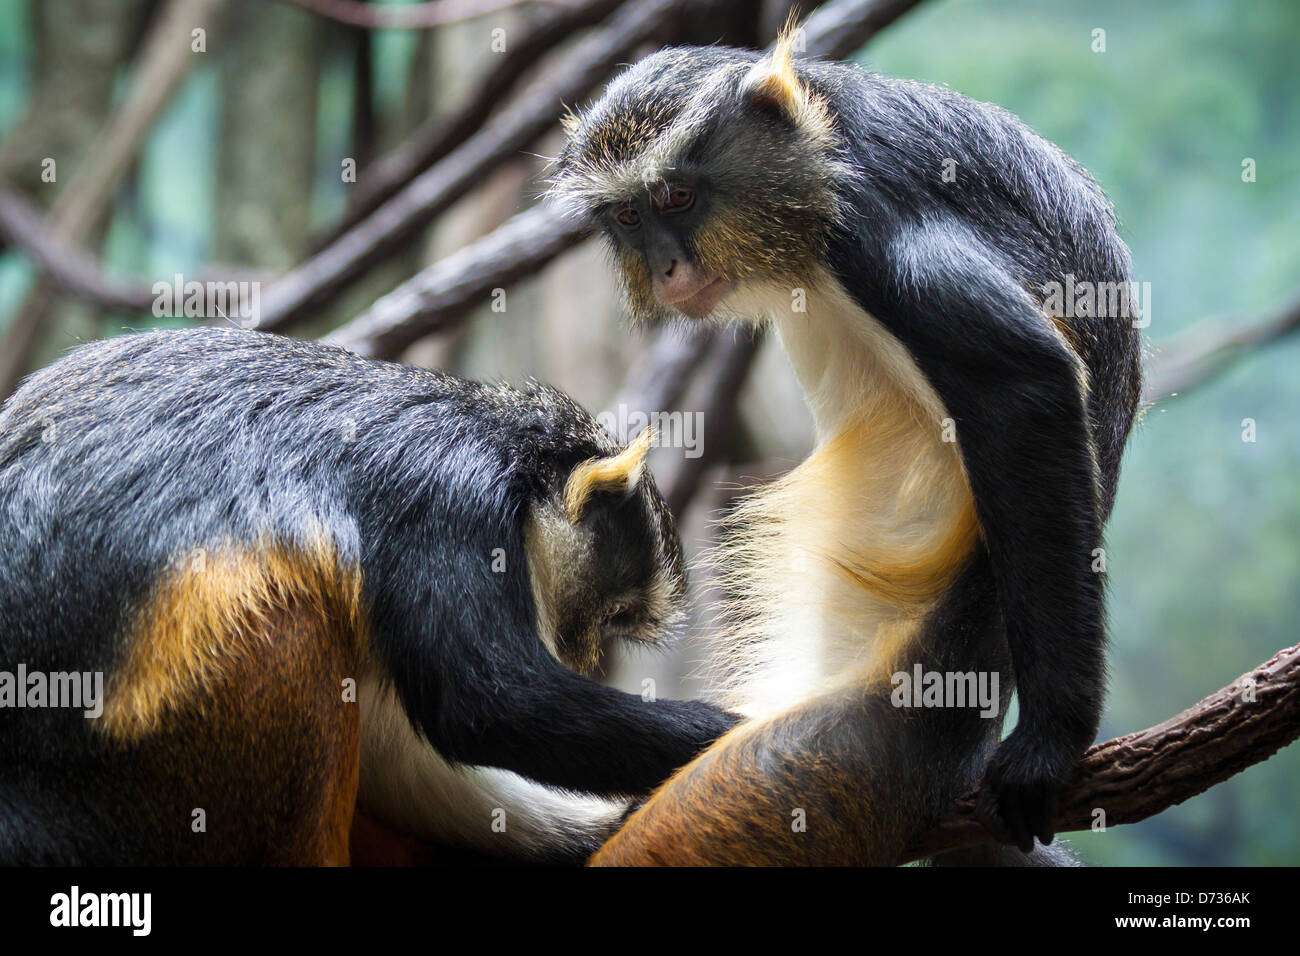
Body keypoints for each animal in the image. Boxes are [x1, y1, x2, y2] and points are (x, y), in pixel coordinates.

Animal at [0, 327, 737, 865]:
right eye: (613, 617)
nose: (585, 661)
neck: (500, 444)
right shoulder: (450, 500)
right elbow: (487, 704)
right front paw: (727, 726)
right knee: (298, 631)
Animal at [550, 25, 1142, 865]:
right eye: (629, 216)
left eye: (677, 199)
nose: (665, 267)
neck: (816, 146)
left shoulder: (873, 223)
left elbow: (1025, 385)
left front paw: (1049, 747)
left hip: (866, 742)